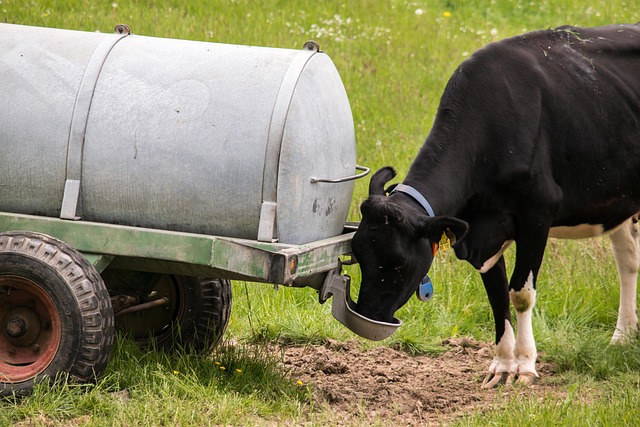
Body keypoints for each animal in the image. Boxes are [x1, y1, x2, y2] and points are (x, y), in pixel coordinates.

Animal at [351, 23, 640, 388]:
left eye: (400, 263)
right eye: (357, 254)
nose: (367, 316)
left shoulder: (537, 216)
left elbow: (520, 293)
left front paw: (526, 365)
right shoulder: (479, 232)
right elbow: (497, 295)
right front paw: (502, 366)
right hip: (620, 200)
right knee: (627, 260)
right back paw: (623, 336)